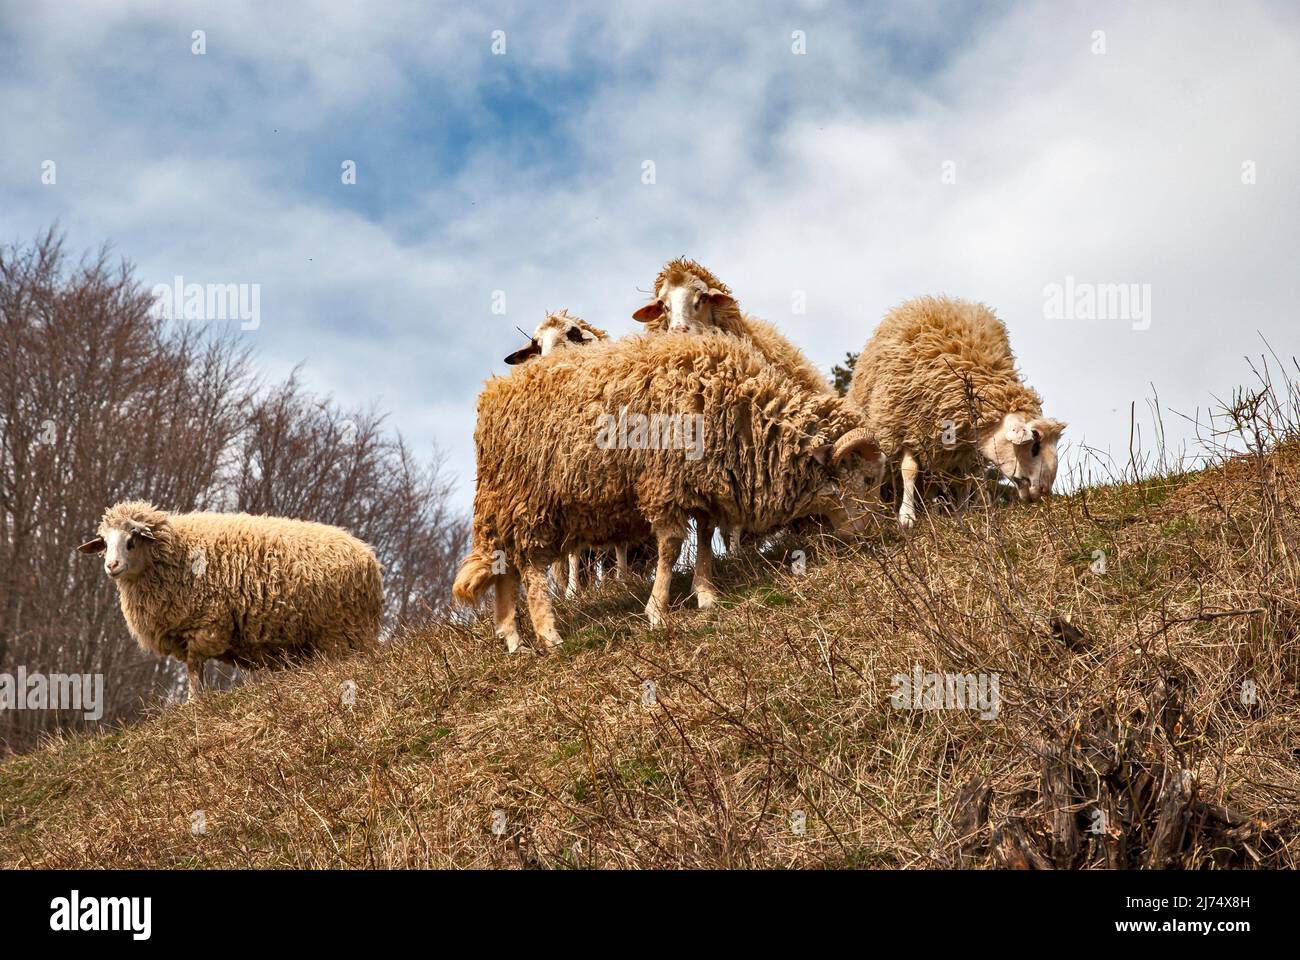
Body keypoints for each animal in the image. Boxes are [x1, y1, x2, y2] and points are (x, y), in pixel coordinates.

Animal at [78, 501, 383, 699]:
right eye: (104, 542)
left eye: (131, 540)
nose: (112, 565)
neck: (175, 552)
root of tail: (369, 557)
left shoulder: (206, 625)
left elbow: (194, 670)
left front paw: (194, 704)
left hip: (342, 632)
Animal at [452, 330, 884, 652]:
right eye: (866, 479)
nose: (873, 534)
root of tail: (493, 392)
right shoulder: (663, 484)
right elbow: (672, 547)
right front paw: (657, 610)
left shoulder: (703, 485)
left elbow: (706, 538)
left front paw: (706, 594)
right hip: (527, 501)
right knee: (528, 568)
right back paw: (548, 633)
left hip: (512, 507)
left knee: (504, 567)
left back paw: (514, 639)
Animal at [846, 295, 1066, 532]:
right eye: (1034, 447)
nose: (1042, 492)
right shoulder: (904, 427)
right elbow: (909, 470)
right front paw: (906, 517)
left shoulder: (964, 450)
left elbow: (967, 480)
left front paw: (962, 515)